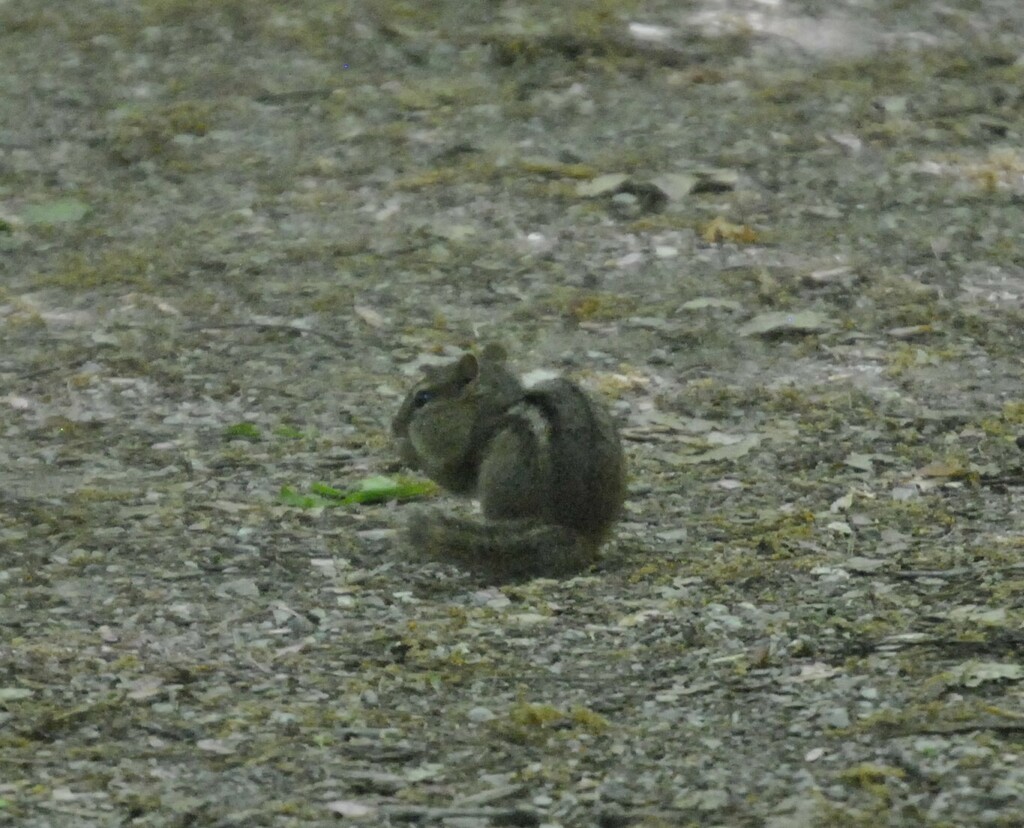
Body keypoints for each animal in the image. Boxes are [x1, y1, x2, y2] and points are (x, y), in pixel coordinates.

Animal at [391, 345, 626, 582]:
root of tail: (580, 535)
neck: (491, 404)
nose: (394, 427)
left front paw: (407, 450)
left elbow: (452, 479)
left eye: (422, 398)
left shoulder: (470, 447)